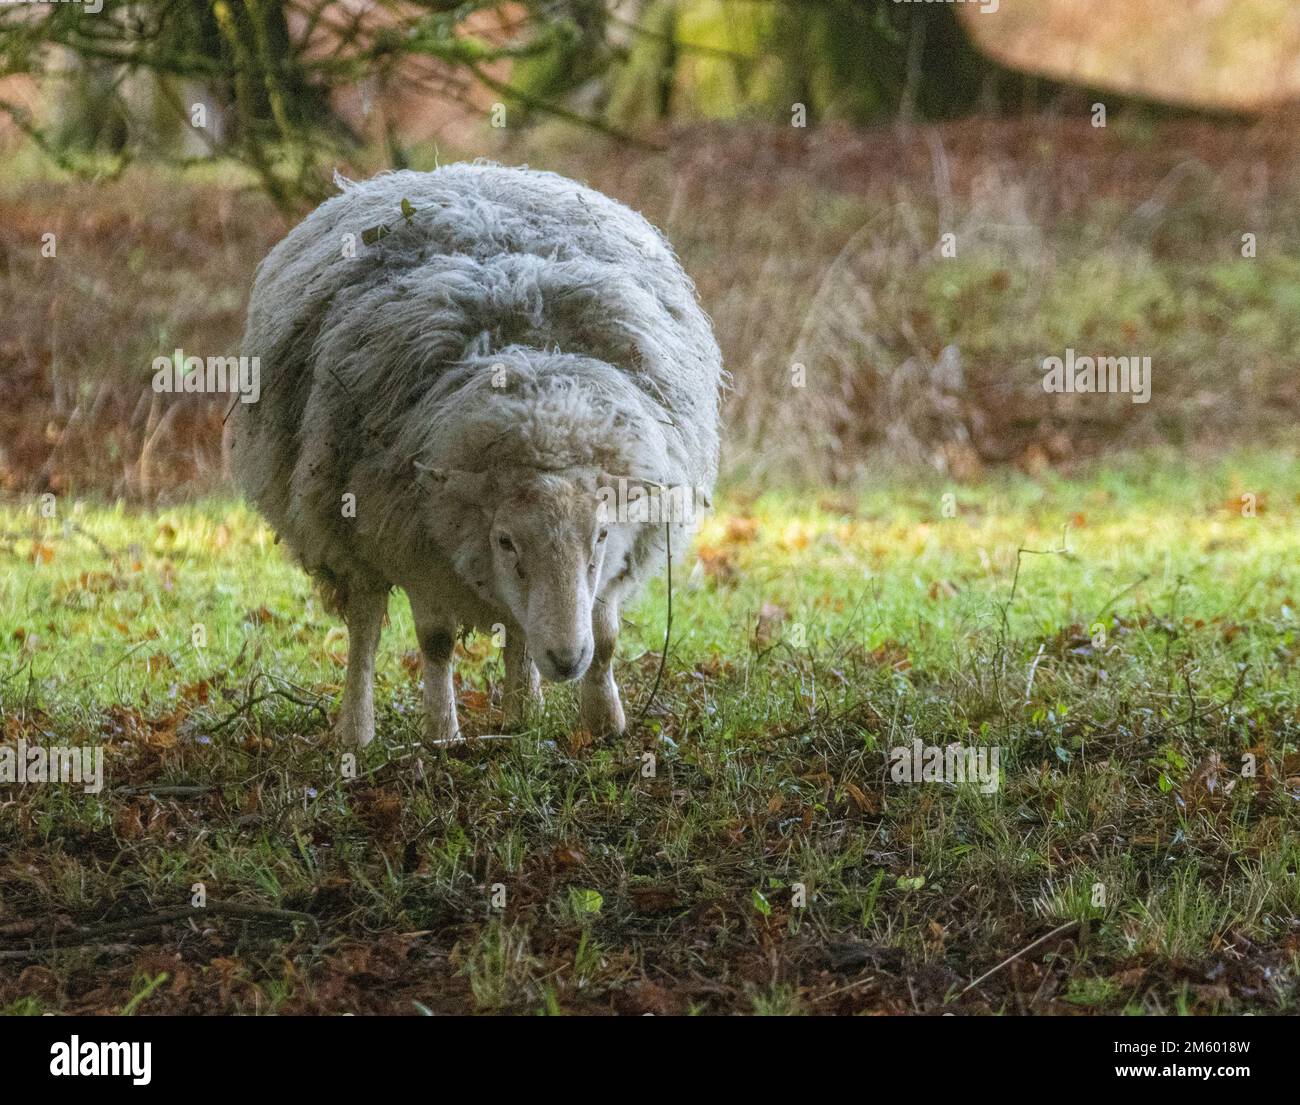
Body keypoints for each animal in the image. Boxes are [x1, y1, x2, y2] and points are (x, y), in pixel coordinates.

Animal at [227, 163, 723, 746]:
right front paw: (443, 735)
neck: (538, 388)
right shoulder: (414, 543)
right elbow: (436, 642)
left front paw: (604, 723)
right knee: (365, 625)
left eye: (600, 534)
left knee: (516, 631)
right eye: (504, 540)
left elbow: (605, 640)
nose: (564, 659)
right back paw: (357, 730)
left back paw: (523, 711)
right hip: (348, 531)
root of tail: (453, 169)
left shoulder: (625, 550)